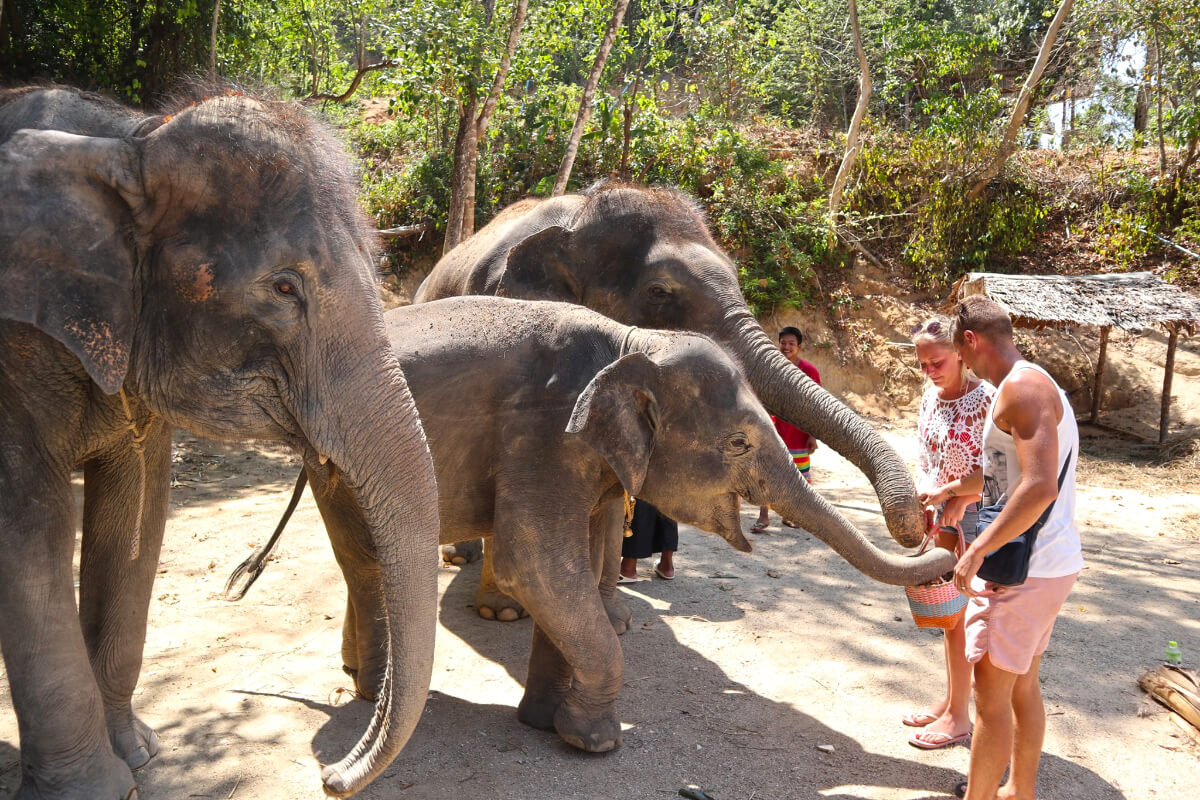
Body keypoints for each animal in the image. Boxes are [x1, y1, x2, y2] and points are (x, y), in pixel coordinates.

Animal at [0, 86, 439, 799]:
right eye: (284, 287)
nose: (329, 775)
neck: (128, 140)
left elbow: (137, 514)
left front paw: (139, 755)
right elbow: (29, 526)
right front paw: (97, 788)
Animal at [237, 296, 955, 752]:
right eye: (740, 444)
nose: (931, 533)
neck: (631, 340)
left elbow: (567, 570)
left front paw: (543, 724)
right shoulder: (543, 434)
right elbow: (535, 566)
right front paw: (595, 743)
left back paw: (360, 678)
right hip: (343, 461)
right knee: (366, 562)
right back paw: (372, 696)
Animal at [412, 183, 926, 622]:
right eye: (659, 291)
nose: (915, 532)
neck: (578, 215)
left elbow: (612, 492)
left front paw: (615, 618)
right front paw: (501, 613)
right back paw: (461, 559)